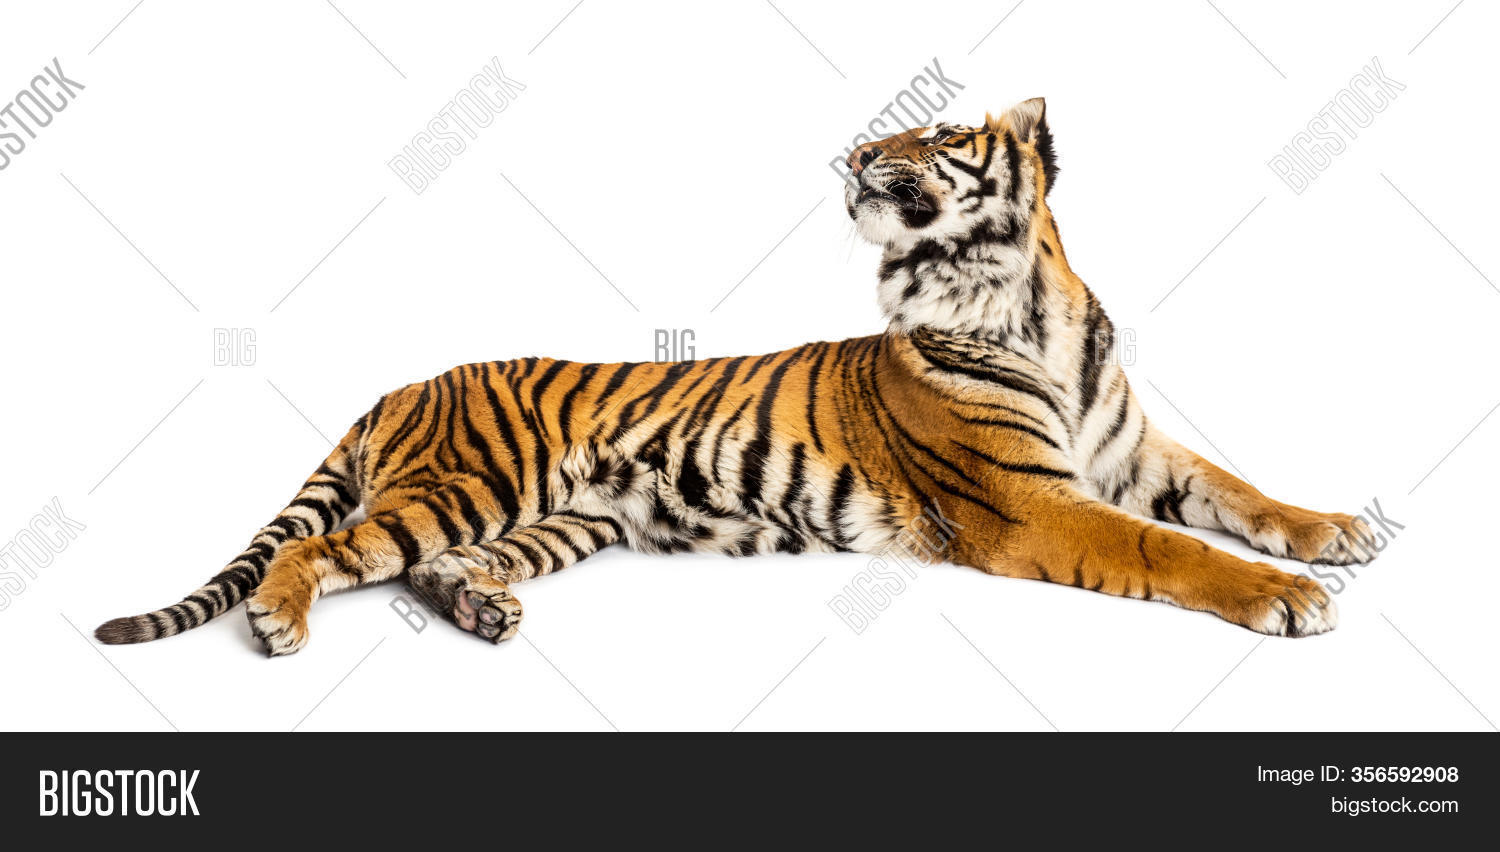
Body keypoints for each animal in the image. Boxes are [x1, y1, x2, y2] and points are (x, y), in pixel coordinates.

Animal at [96, 97, 1376, 656]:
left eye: (941, 133)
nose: (857, 153)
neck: (1014, 300)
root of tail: (404, 383)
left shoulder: (1131, 450)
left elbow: (1237, 491)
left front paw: (1337, 532)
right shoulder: (1028, 501)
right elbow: (1169, 547)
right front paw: (1289, 596)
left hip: (561, 521)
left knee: (425, 566)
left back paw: (480, 611)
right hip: (466, 485)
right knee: (331, 546)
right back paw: (279, 619)